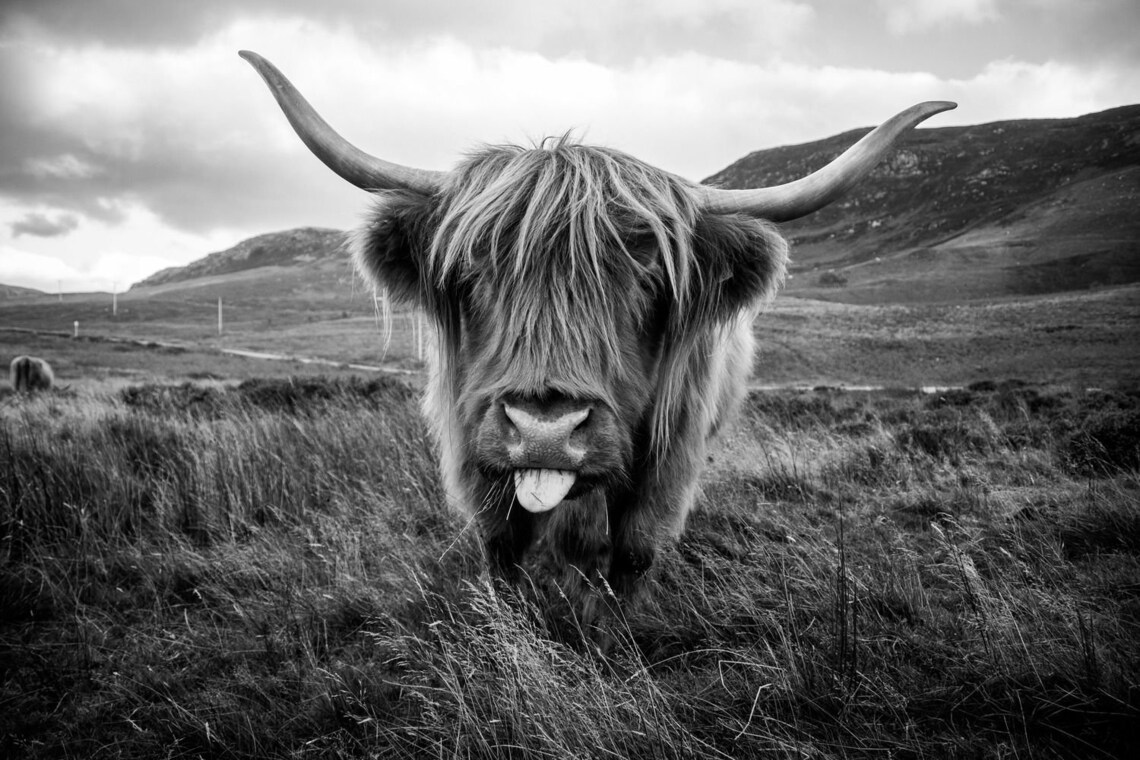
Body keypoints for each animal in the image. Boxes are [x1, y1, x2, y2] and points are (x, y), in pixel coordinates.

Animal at [241, 51, 954, 601]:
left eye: (648, 278)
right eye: (474, 270)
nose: (546, 431)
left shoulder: (670, 452)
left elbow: (635, 548)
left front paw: (617, 630)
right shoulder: (472, 444)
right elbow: (500, 546)